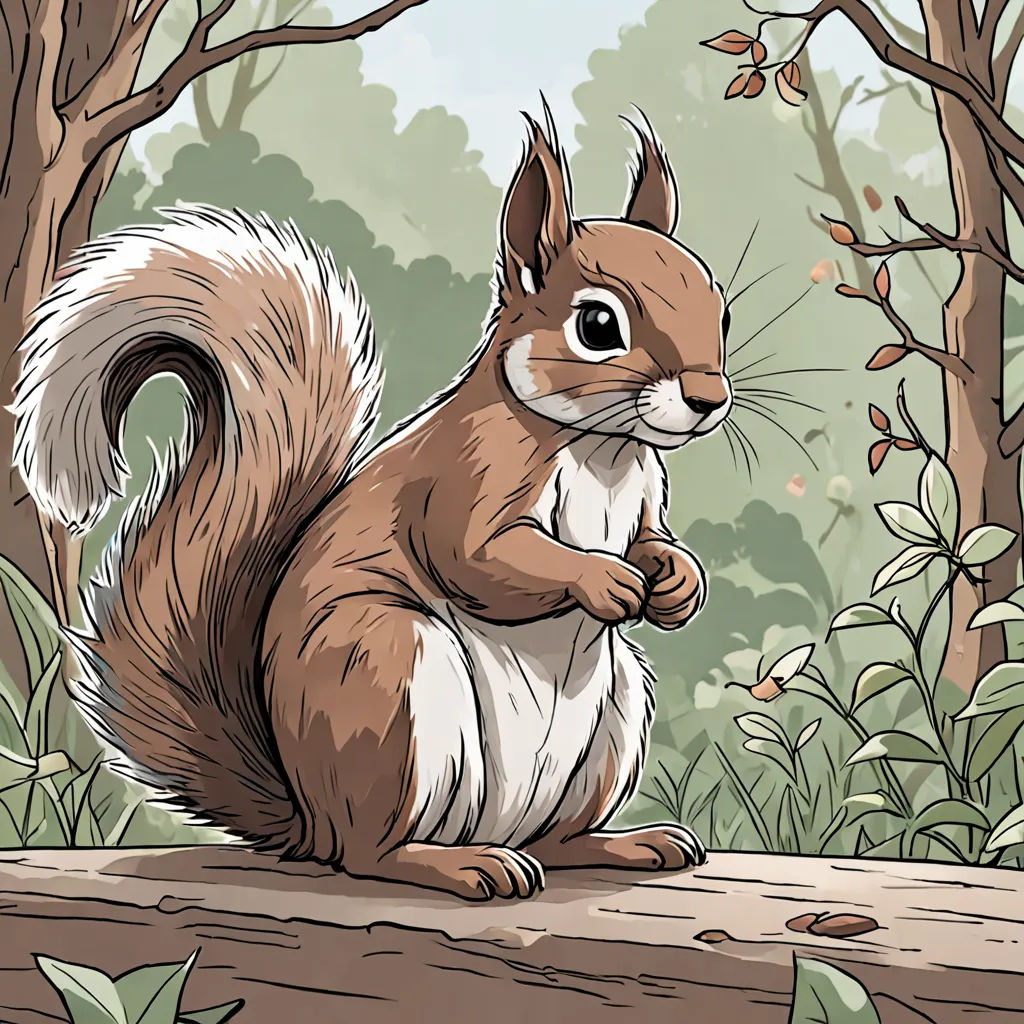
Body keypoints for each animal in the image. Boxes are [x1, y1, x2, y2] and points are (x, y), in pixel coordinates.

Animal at [11, 106, 732, 901]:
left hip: (611, 716)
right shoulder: (468, 473)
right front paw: (601, 578)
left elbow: (652, 541)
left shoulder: (643, 497)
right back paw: (457, 863)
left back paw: (624, 843)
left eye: (720, 311)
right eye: (598, 326)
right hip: (386, 681)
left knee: (558, 839)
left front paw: (679, 583)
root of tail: (308, 820)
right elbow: (480, 557)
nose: (709, 397)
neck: (601, 448)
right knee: (369, 853)